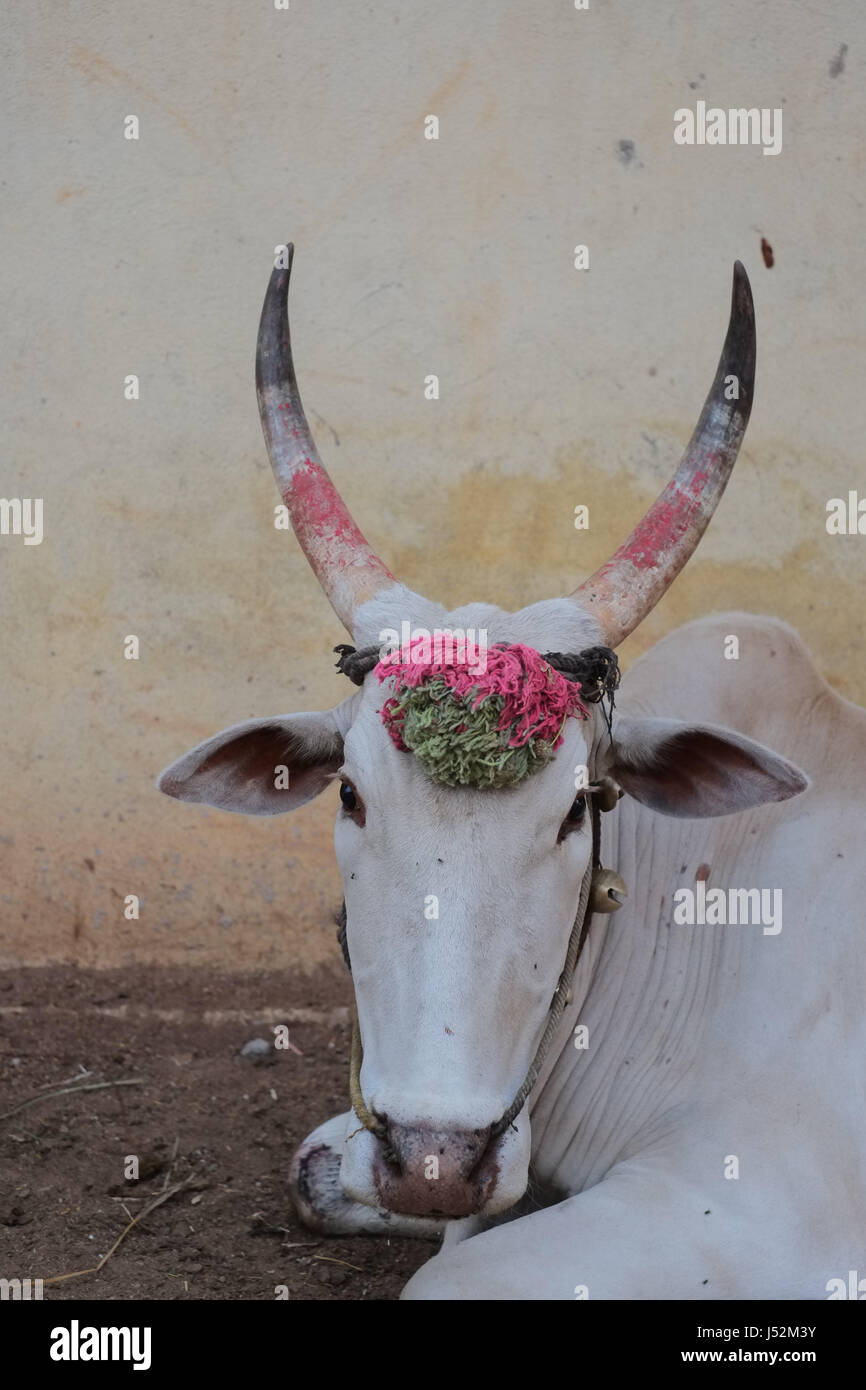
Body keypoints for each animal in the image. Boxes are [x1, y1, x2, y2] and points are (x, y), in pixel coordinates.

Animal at [159, 249, 866, 1299]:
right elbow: (312, 1168)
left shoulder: (756, 1202)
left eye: (577, 811)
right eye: (350, 795)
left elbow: (442, 1278)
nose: (435, 1159)